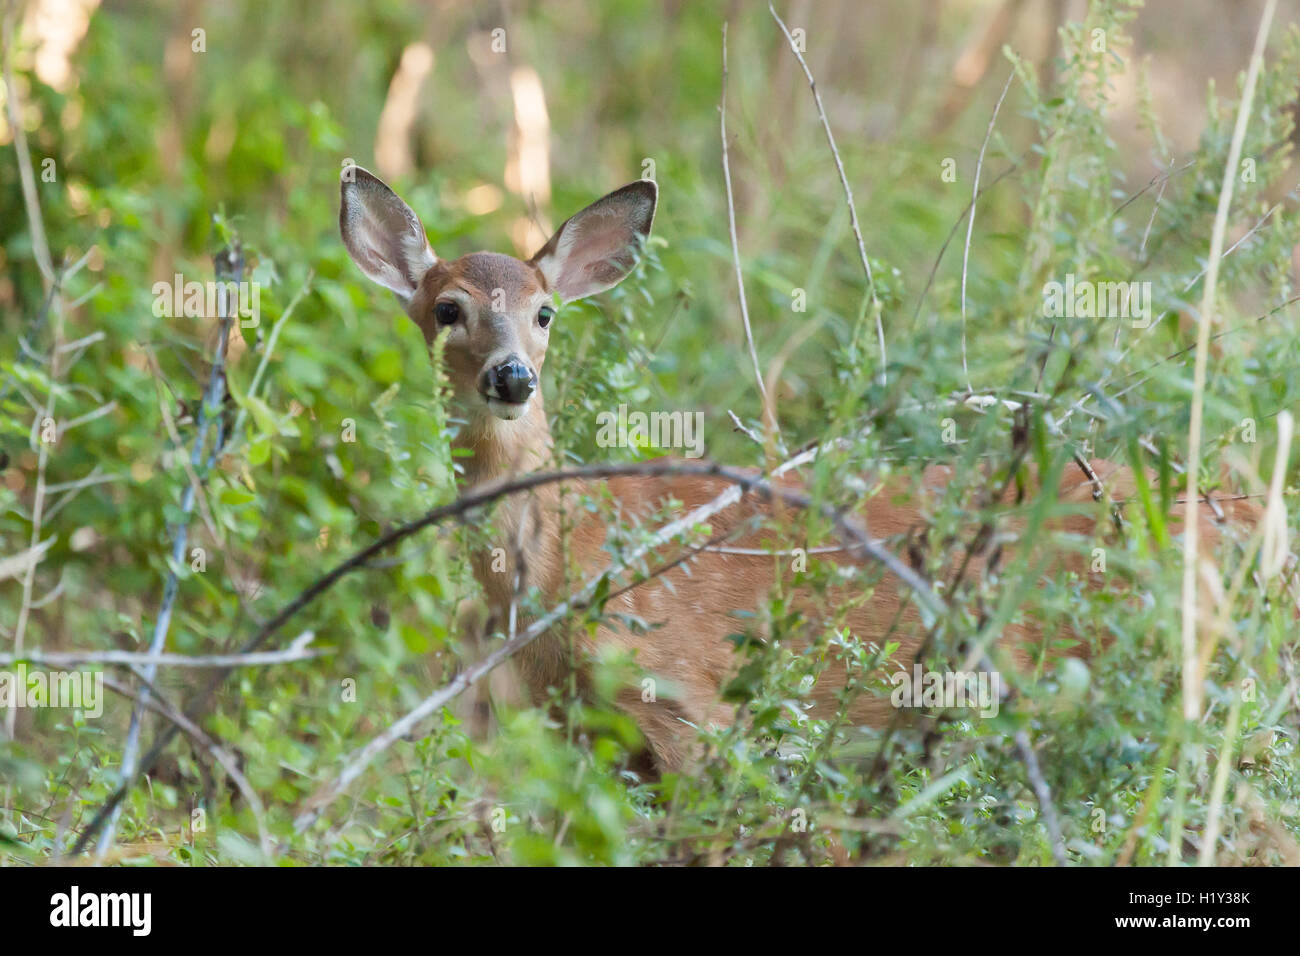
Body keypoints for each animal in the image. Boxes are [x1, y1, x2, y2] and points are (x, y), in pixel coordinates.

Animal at [338, 164, 1262, 772]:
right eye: (446, 310)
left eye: (544, 313)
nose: (512, 378)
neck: (561, 574)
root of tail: (1241, 514)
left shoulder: (687, 703)